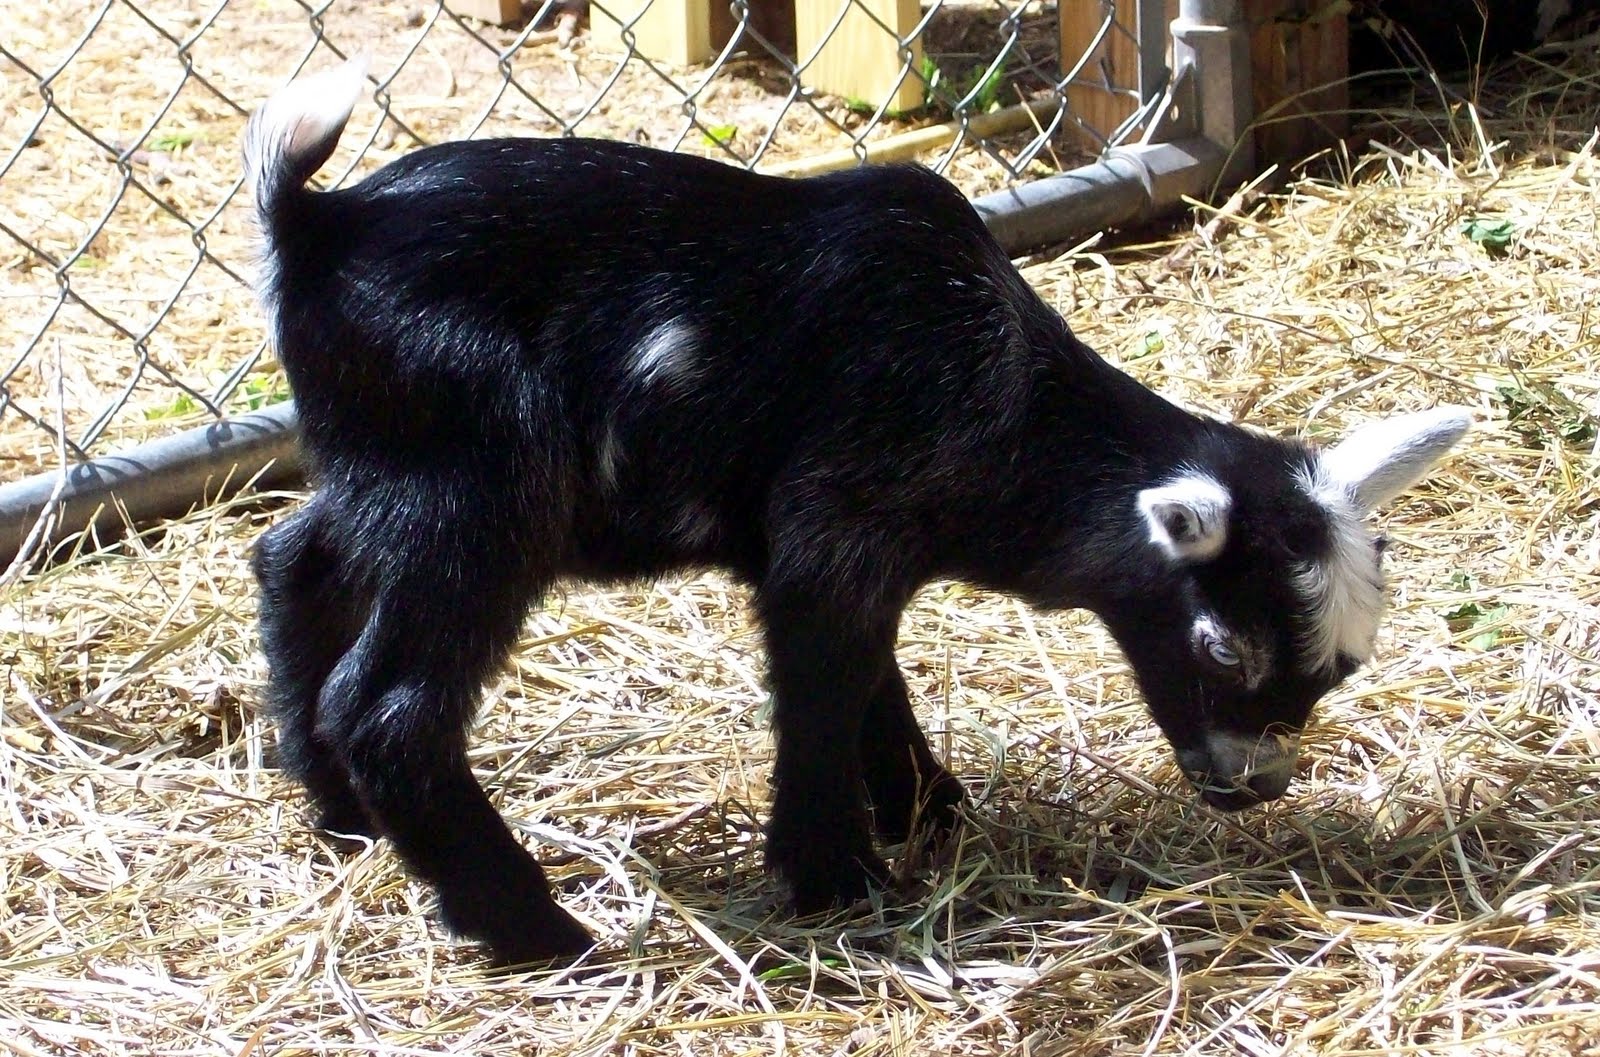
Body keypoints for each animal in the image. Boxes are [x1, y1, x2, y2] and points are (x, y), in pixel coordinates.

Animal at [243, 58, 1470, 968]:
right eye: (1220, 648)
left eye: (1333, 673)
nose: (1251, 786)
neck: (1001, 387)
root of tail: (317, 225)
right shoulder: (834, 533)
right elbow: (826, 688)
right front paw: (834, 877)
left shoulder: (843, 544)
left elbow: (872, 673)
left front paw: (928, 812)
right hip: (480, 482)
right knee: (391, 702)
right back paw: (538, 931)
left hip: (383, 464)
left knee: (293, 557)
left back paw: (339, 813)